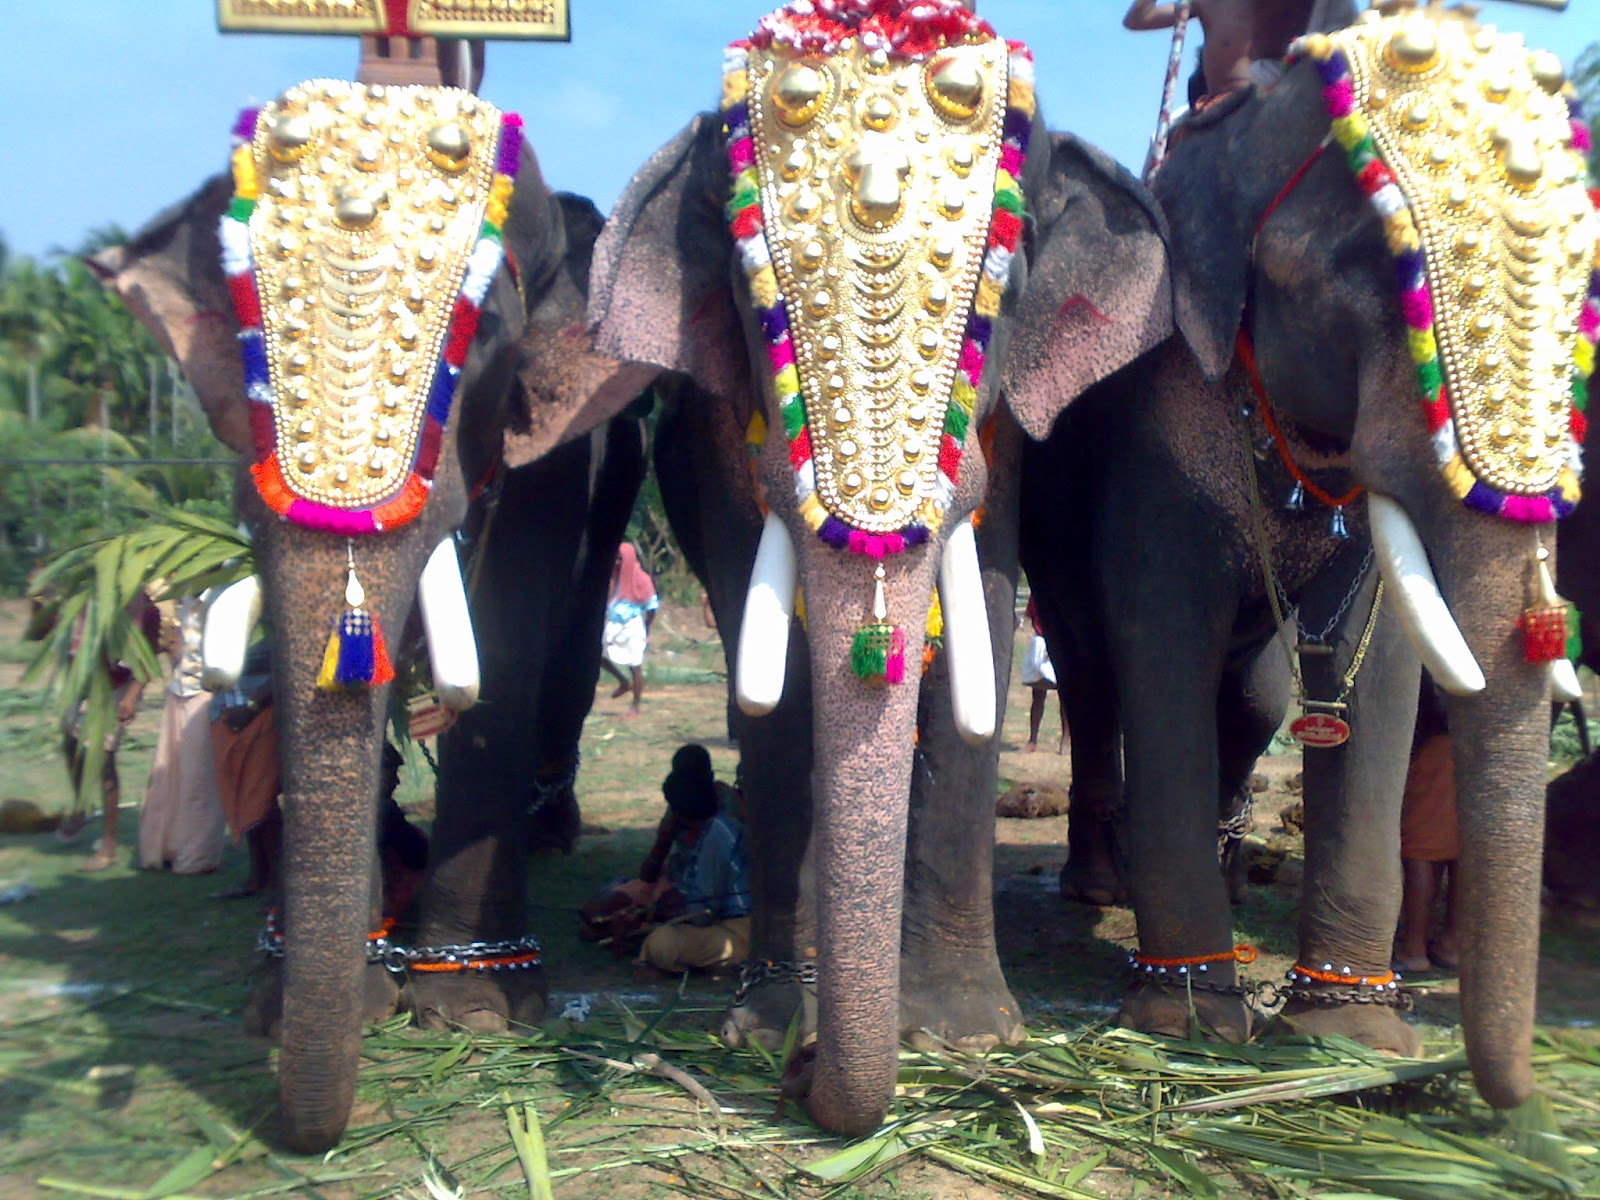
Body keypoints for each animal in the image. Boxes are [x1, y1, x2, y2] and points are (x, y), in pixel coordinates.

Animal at [91, 55, 654, 1150]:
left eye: (477, 348)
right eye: (247, 340)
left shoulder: (551, 440)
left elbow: (509, 626)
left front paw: (469, 1011)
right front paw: (306, 998)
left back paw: (545, 837)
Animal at [570, 3, 1177, 1136]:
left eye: (1004, 288)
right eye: (748, 291)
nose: (803, 1072)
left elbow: (986, 609)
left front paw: (968, 1037)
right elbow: (769, 678)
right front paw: (763, 1028)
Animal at [1020, 6, 1595, 1113]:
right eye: (1367, 266)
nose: (1506, 1103)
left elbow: (1373, 674)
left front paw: (1353, 1039)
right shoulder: (1155, 414)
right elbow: (1161, 635)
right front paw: (1187, 1022)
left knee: (1250, 699)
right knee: (1092, 674)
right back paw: (1098, 889)